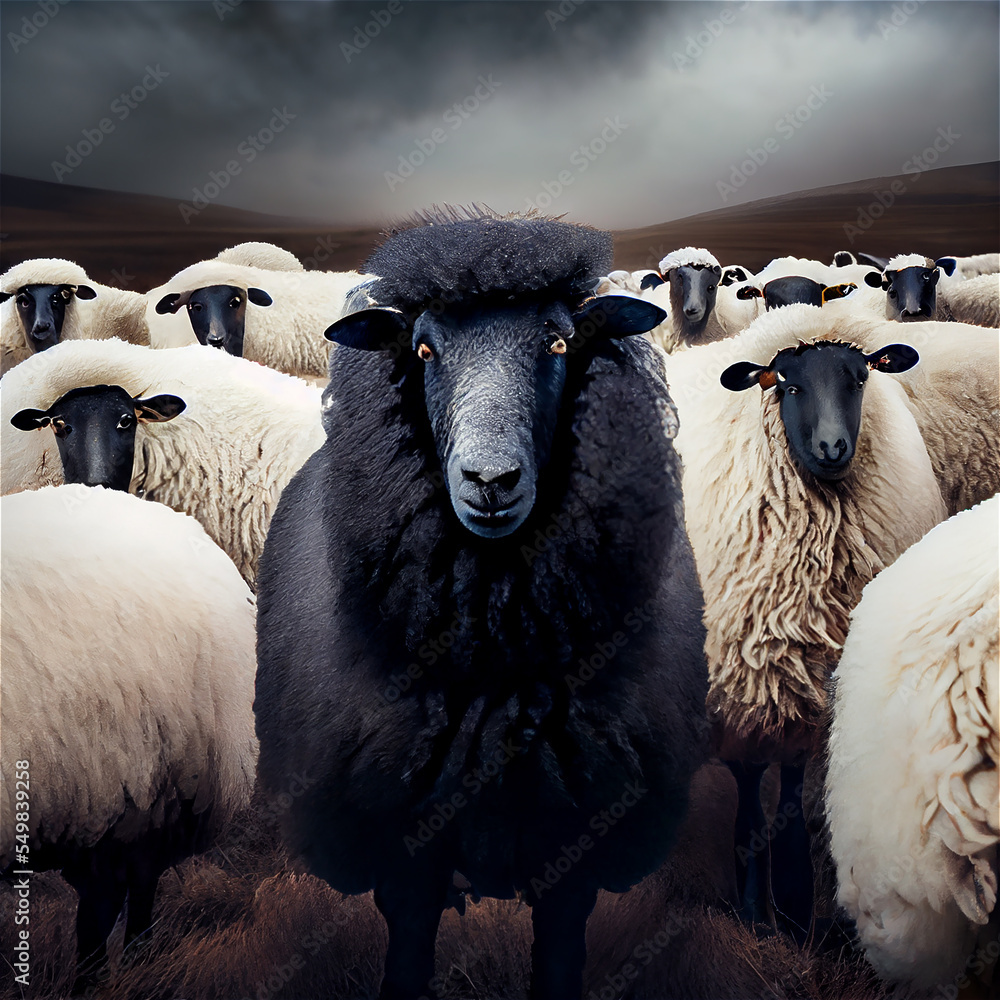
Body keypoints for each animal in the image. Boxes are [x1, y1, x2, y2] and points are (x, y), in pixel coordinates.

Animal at [255, 206, 709, 999]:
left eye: (558, 341)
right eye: (424, 348)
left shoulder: (576, 840)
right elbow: (407, 958)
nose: (489, 481)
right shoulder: (405, 844)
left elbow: (560, 962)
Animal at [662, 303, 947, 936]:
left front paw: (795, 902)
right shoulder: (738, 676)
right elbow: (750, 792)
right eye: (789, 385)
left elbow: (792, 786)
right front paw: (754, 911)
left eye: (860, 379)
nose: (834, 447)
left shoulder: (816, 680)